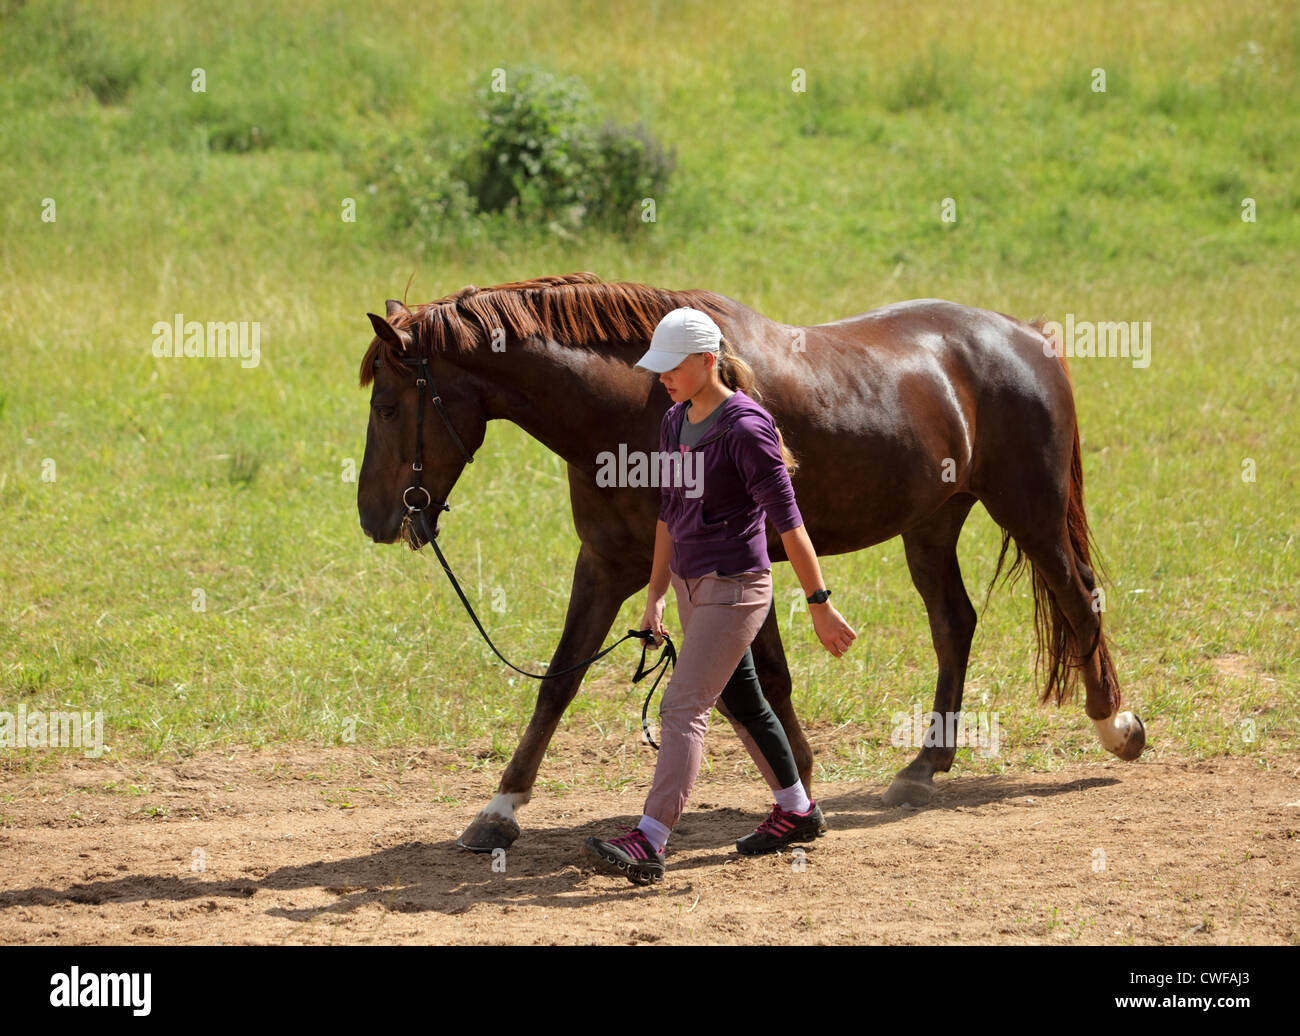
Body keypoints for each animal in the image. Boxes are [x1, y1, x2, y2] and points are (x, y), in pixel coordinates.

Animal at [356, 271, 1145, 852]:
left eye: (390, 407)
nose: (373, 518)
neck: (635, 407)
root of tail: (1027, 337)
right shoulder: (607, 566)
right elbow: (560, 682)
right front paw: (500, 811)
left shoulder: (746, 555)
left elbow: (767, 679)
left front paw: (799, 778)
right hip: (931, 524)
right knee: (955, 622)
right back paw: (925, 767)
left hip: (1030, 510)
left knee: (1077, 597)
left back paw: (1117, 726)